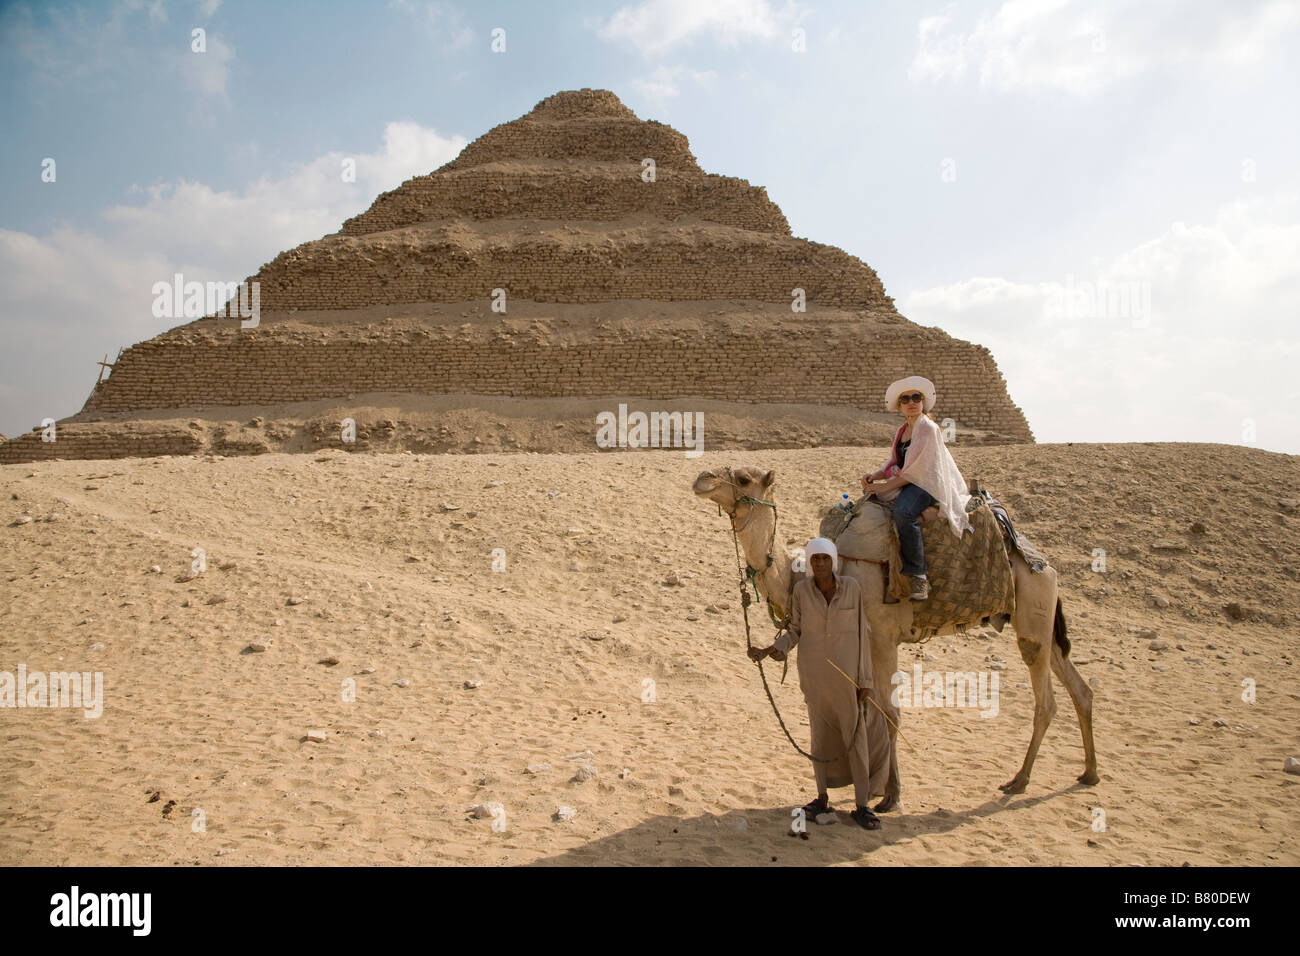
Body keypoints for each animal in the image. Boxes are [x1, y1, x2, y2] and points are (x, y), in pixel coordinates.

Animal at [693, 465, 1098, 813]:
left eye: (744, 479)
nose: (702, 478)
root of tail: (1043, 562)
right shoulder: (865, 645)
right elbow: (865, 707)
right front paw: (868, 786)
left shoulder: (883, 638)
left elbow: (889, 711)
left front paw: (891, 796)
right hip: (1039, 621)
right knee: (1080, 688)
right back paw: (1089, 773)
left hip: (1033, 612)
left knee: (1046, 700)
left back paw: (1019, 780)